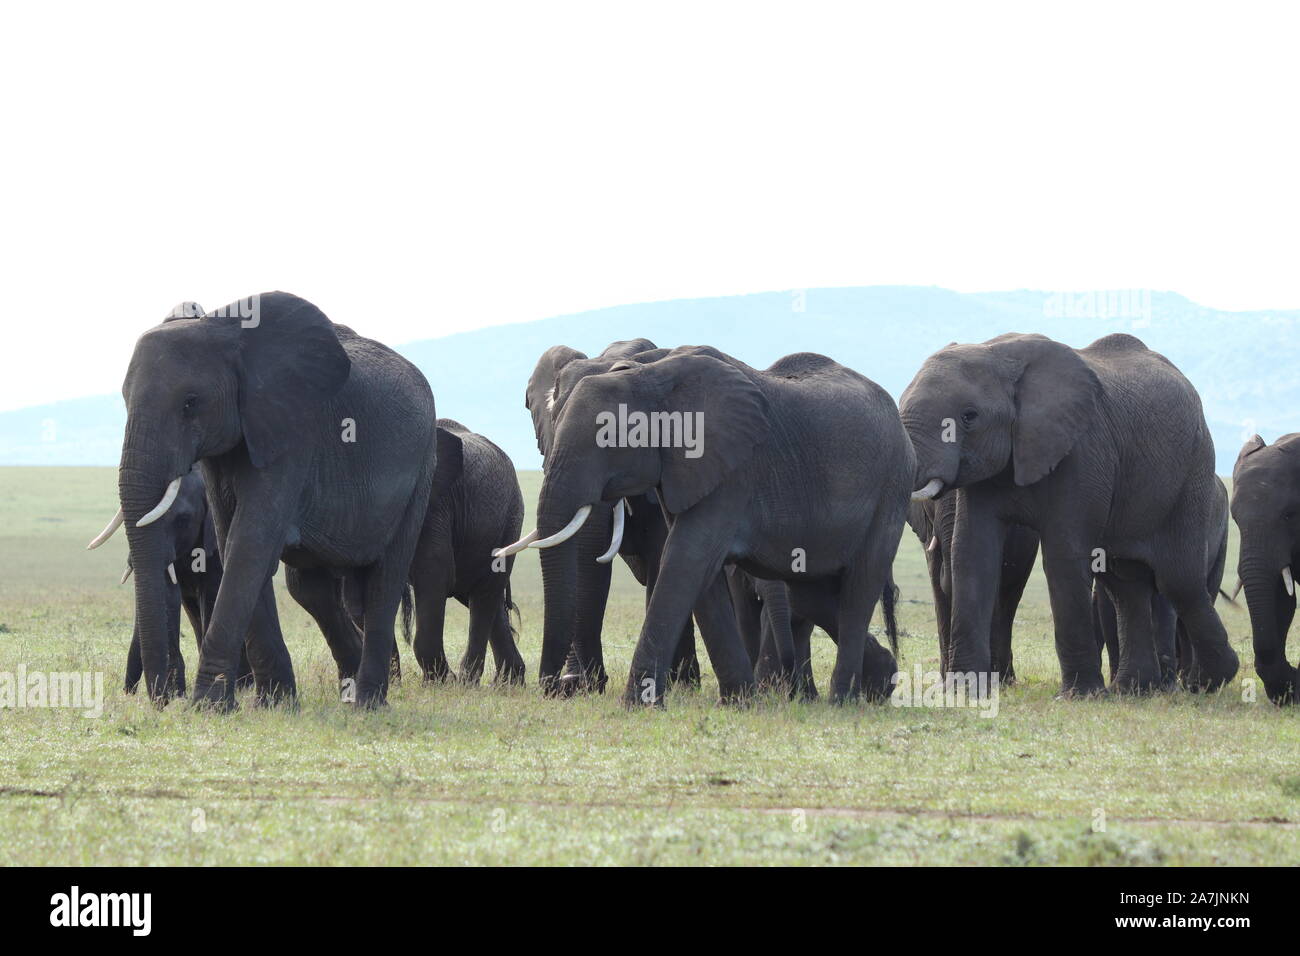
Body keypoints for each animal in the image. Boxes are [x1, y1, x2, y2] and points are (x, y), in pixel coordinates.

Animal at [117, 466, 254, 696]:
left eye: (182, 519)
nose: (129, 692)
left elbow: (211, 595)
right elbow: (169, 596)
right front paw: (177, 694)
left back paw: (244, 686)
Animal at [344, 419, 527, 685]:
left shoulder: (433, 504)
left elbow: (434, 574)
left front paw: (440, 682)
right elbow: (357, 597)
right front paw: (393, 682)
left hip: (510, 520)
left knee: (485, 593)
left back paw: (467, 683)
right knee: (481, 597)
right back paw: (507, 684)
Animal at [900, 332, 1238, 697]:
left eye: (969, 416)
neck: (997, 353)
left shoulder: (1083, 450)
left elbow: (1064, 555)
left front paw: (1080, 696)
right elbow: (972, 553)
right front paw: (964, 693)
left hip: (1192, 471)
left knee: (1178, 578)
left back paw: (1209, 680)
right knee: (1126, 585)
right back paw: (1134, 689)